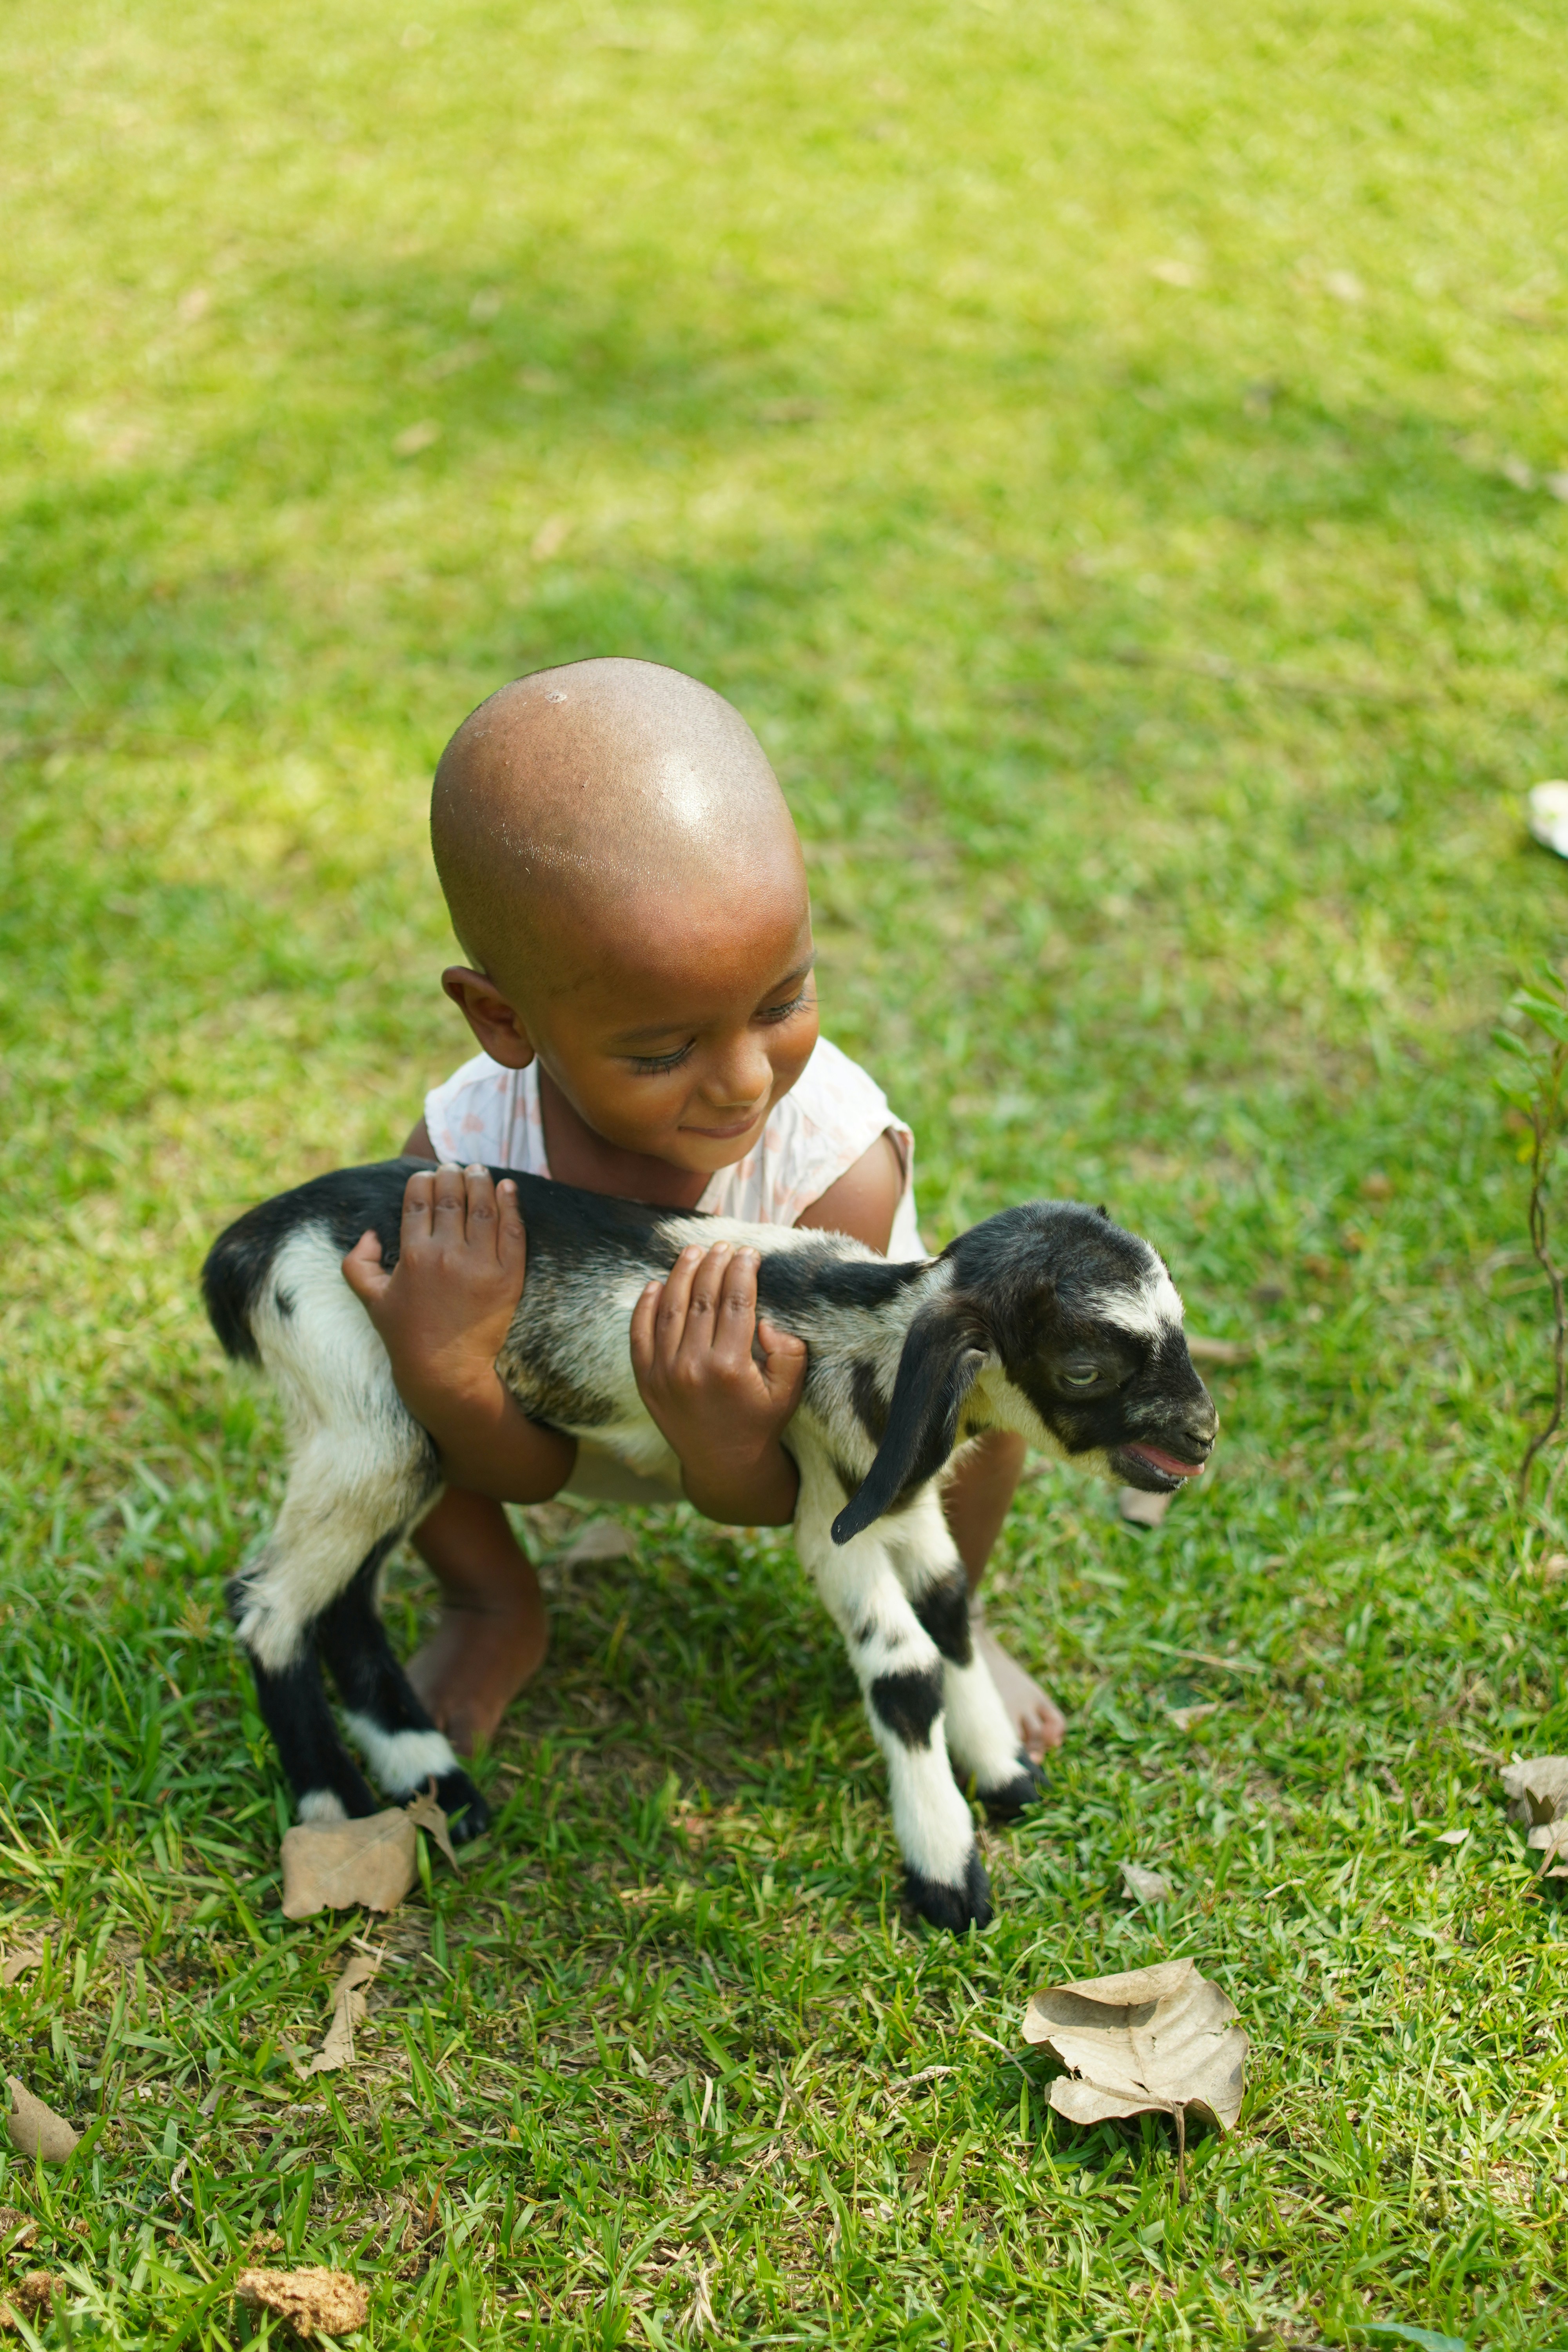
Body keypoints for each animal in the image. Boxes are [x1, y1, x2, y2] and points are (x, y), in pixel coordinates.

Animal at [202, 1162, 1217, 1932]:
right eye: (1082, 1367)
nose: (1202, 1436)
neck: (869, 1336)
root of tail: (253, 1242)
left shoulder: (902, 1505)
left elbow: (949, 1610)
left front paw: (1004, 1772)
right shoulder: (831, 1515)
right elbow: (903, 1668)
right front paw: (947, 1875)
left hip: (393, 1442)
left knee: (345, 1601)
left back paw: (432, 1776)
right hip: (359, 1418)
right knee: (267, 1605)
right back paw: (334, 1807)